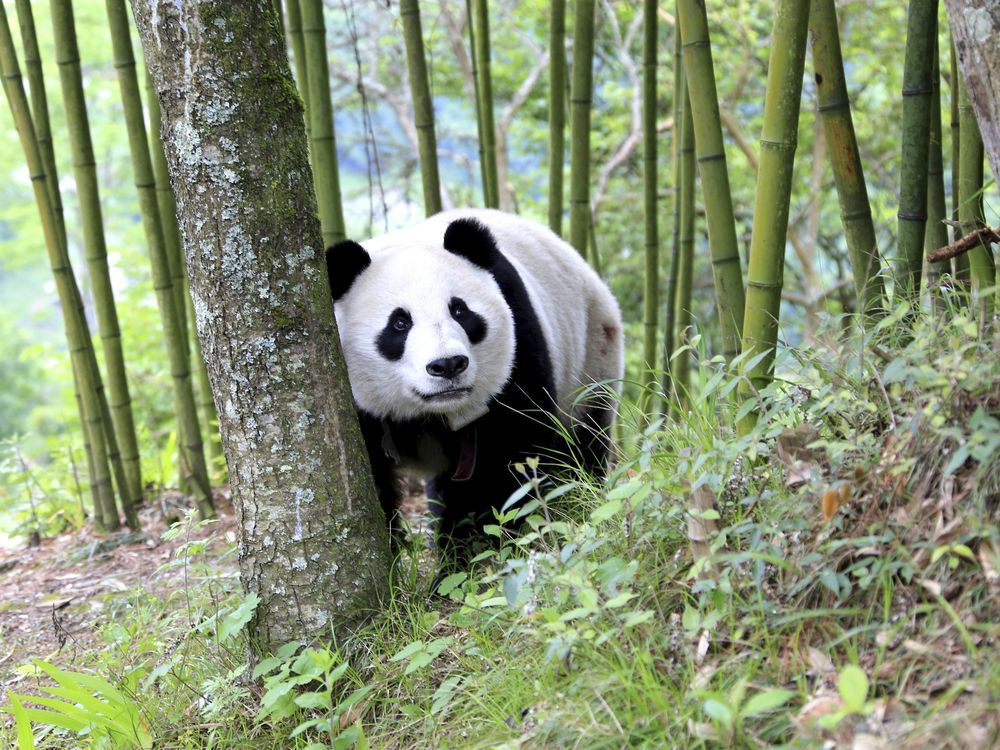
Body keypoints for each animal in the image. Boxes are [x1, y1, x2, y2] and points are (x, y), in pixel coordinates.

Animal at [326, 209, 624, 563]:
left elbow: (505, 464)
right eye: (399, 323)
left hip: (590, 360)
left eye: (459, 310)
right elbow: (370, 478)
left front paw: (466, 558)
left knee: (580, 447)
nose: (448, 365)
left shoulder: (518, 348)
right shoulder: (354, 406)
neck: (428, 413)